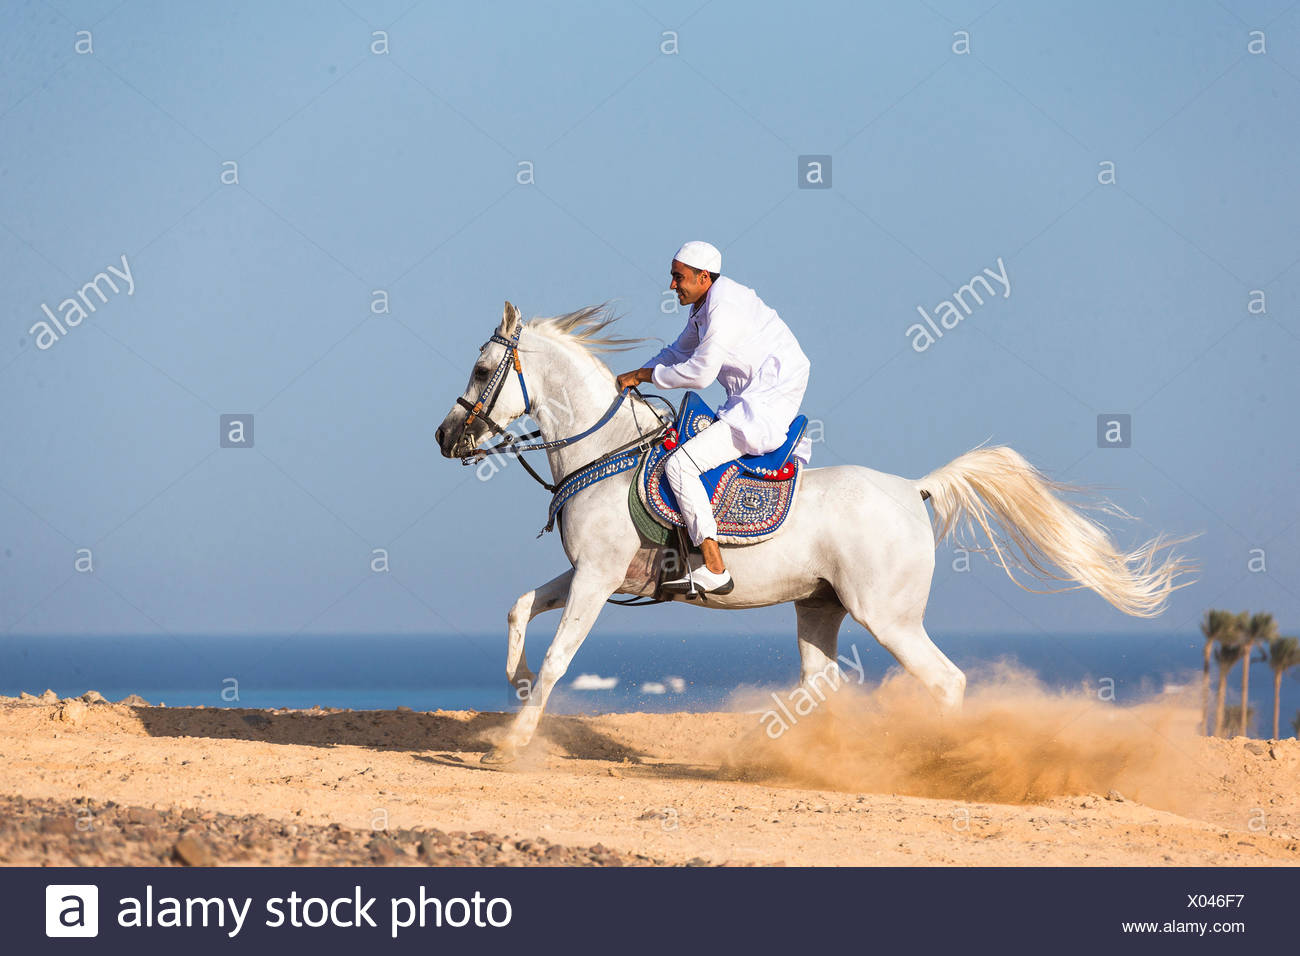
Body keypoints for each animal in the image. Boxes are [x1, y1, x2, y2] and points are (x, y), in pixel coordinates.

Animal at [435, 302, 1194, 766]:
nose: (446, 437)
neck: (607, 452)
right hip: (819, 607)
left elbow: (561, 659)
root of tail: (913, 488)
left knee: (946, 682)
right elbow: (520, 608)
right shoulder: (592, 573)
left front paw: (513, 743)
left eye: (481, 368)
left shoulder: (597, 580)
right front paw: (515, 685)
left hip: (887, 617)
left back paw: (947, 763)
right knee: (821, 688)